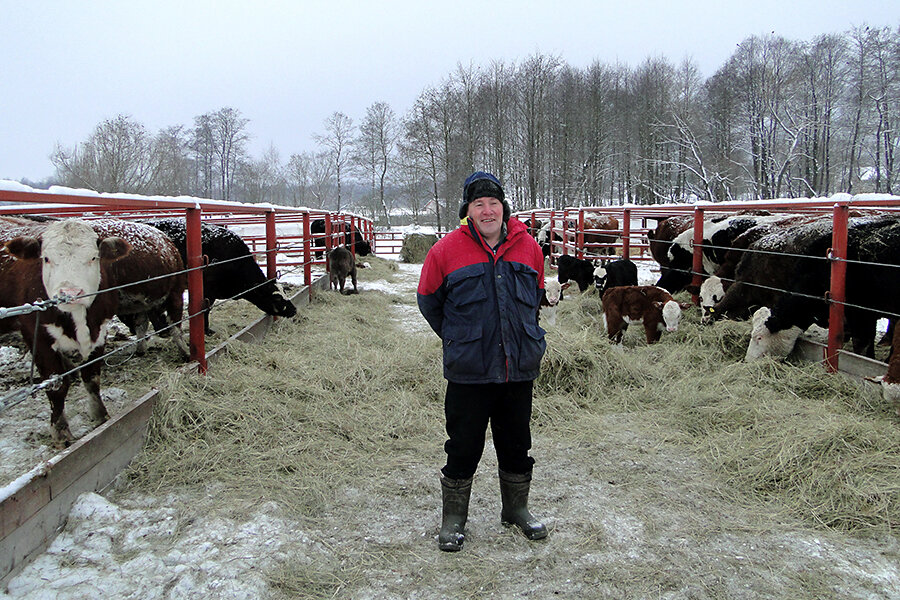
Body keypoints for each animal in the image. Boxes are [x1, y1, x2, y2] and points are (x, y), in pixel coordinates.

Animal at [0, 218, 132, 442]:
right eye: (46, 258)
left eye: (93, 257)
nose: (70, 292)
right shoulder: (38, 337)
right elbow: (57, 386)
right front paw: (62, 432)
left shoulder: (100, 331)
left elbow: (92, 378)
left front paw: (101, 416)